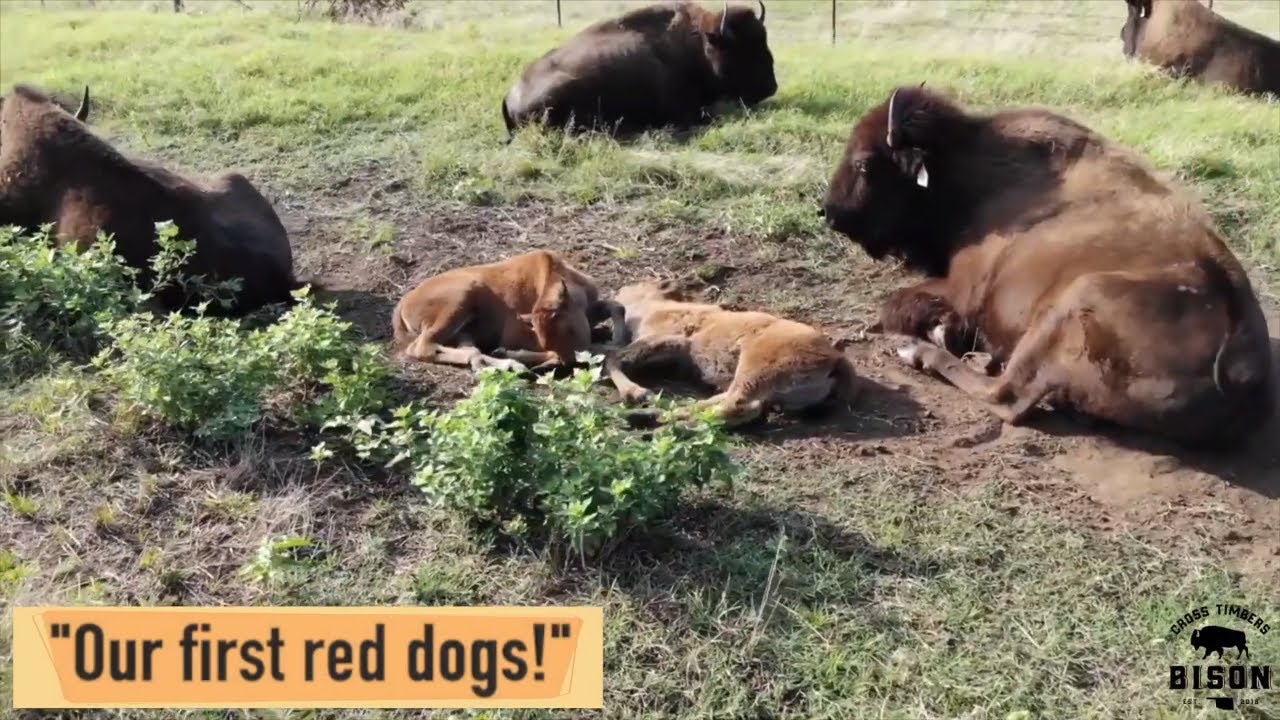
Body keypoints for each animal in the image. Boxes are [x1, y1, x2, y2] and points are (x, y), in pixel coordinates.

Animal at [392, 249, 625, 373]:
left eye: (569, 330)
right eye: (547, 339)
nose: (569, 362)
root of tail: (403, 302)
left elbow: (617, 306)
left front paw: (615, 339)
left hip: (462, 327)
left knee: (471, 350)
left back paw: (501, 364)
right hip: (460, 300)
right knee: (422, 347)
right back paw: (510, 362)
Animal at [602, 279, 861, 426]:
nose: (618, 290)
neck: (658, 305)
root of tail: (837, 359)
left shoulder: (668, 338)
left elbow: (612, 358)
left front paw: (636, 393)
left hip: (754, 370)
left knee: (737, 406)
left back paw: (663, 424)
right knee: (733, 404)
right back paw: (650, 417)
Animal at [820, 84, 1274, 448]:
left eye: (865, 163)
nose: (828, 212)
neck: (967, 168)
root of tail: (1244, 371)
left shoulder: (964, 286)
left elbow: (898, 305)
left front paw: (937, 333)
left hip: (1077, 299)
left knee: (1008, 396)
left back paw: (919, 353)